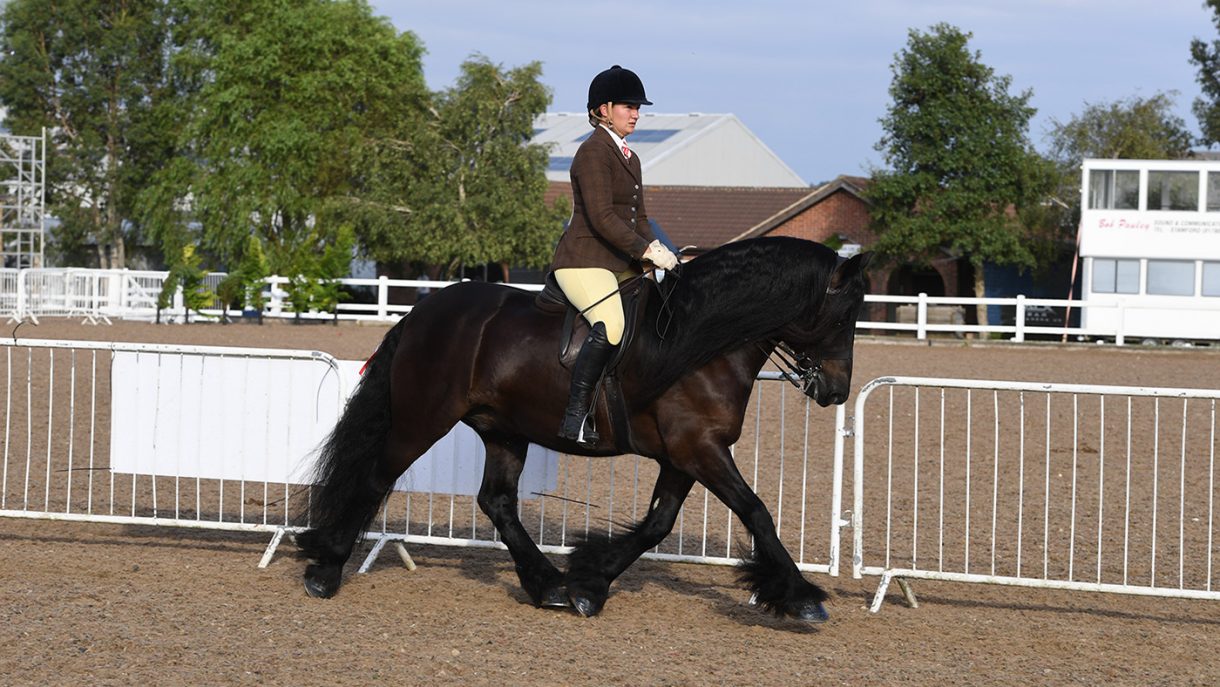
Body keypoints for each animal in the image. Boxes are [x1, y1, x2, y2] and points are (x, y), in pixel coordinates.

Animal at [296, 236, 872, 622]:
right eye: (843, 316)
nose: (836, 391)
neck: (703, 344)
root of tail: (423, 311)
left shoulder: (685, 455)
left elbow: (658, 523)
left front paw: (590, 580)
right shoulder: (700, 449)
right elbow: (756, 512)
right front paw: (800, 596)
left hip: (504, 430)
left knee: (497, 501)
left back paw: (546, 585)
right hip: (424, 419)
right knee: (377, 478)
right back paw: (326, 570)